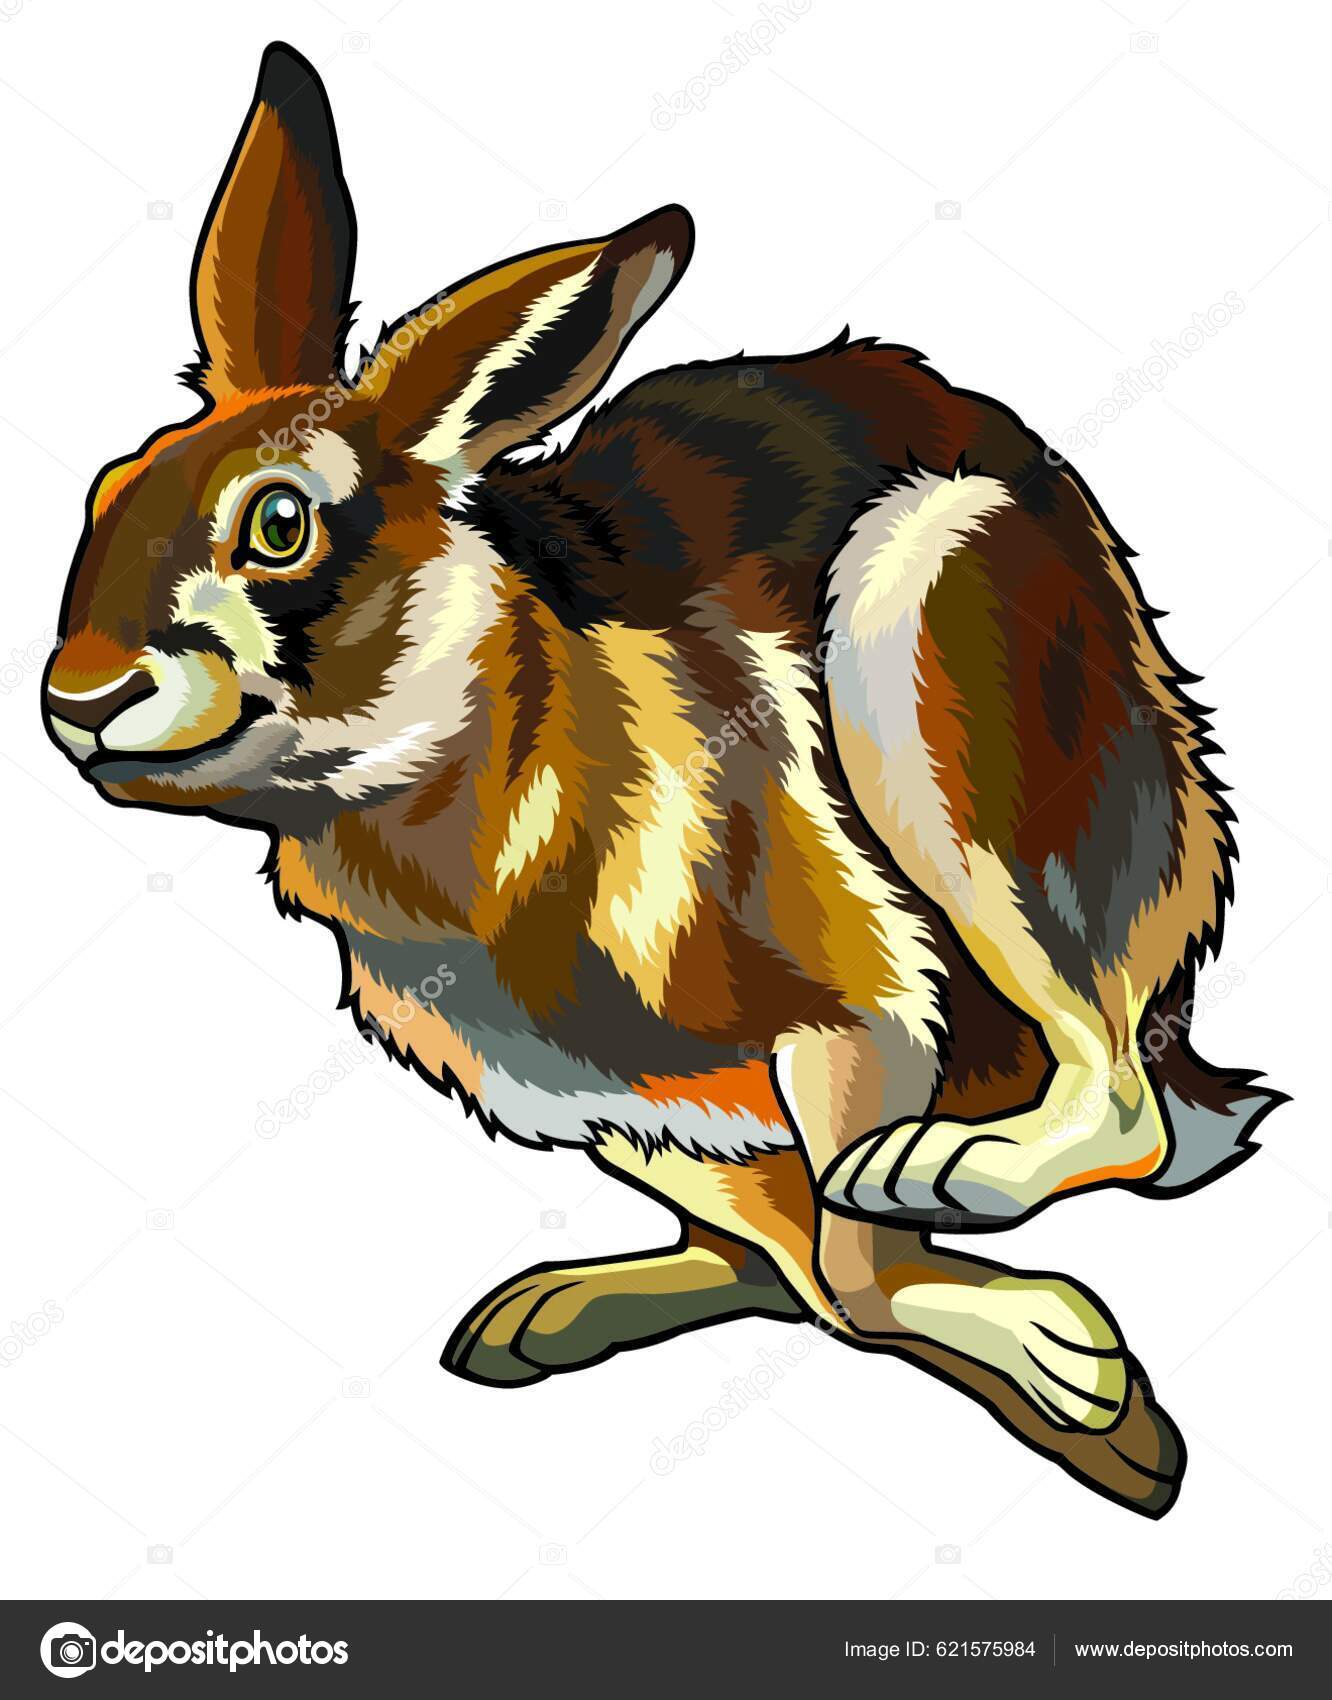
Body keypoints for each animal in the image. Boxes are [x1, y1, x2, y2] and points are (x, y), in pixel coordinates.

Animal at [43, 42, 1284, 1518]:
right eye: (105, 492)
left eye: (279, 524)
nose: (78, 700)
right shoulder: (620, 1106)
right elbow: (825, 1275)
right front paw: (1068, 1359)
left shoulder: (859, 1016)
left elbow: (855, 1257)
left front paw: (1076, 1364)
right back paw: (543, 1315)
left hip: (942, 670)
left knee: (1115, 1095)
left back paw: (971, 1183)